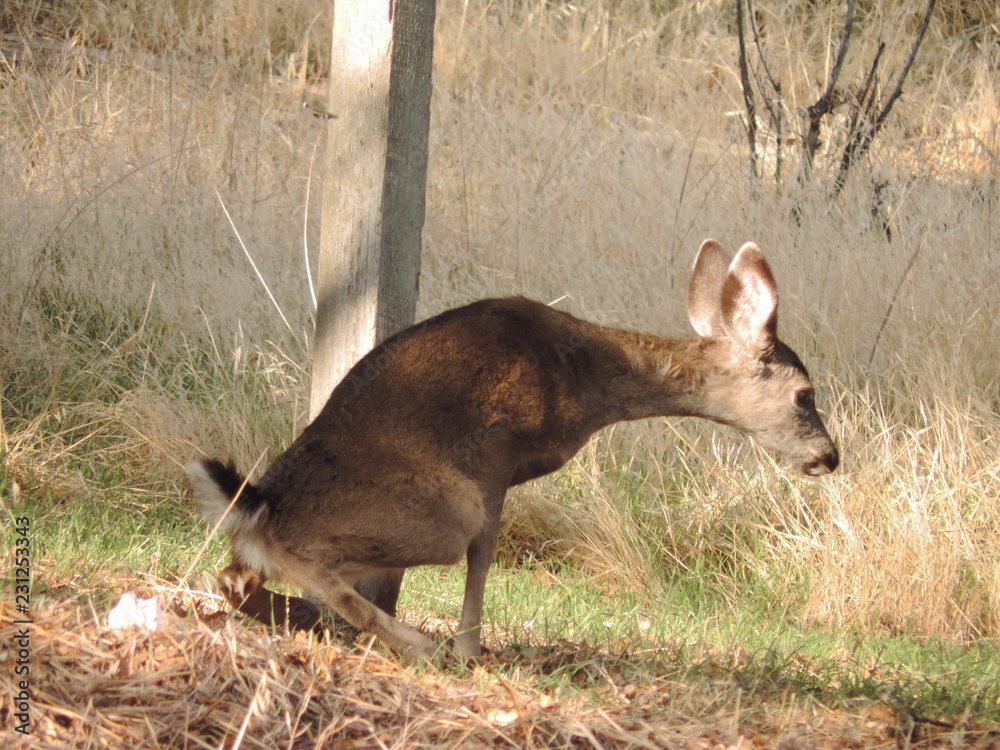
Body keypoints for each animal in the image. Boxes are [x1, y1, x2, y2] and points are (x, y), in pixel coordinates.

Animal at [186, 239, 839, 664]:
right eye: (805, 395)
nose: (830, 457)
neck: (583, 380)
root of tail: (263, 501)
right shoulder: (495, 457)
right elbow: (484, 556)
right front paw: (470, 646)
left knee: (232, 576)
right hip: (445, 508)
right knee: (301, 557)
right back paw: (416, 644)